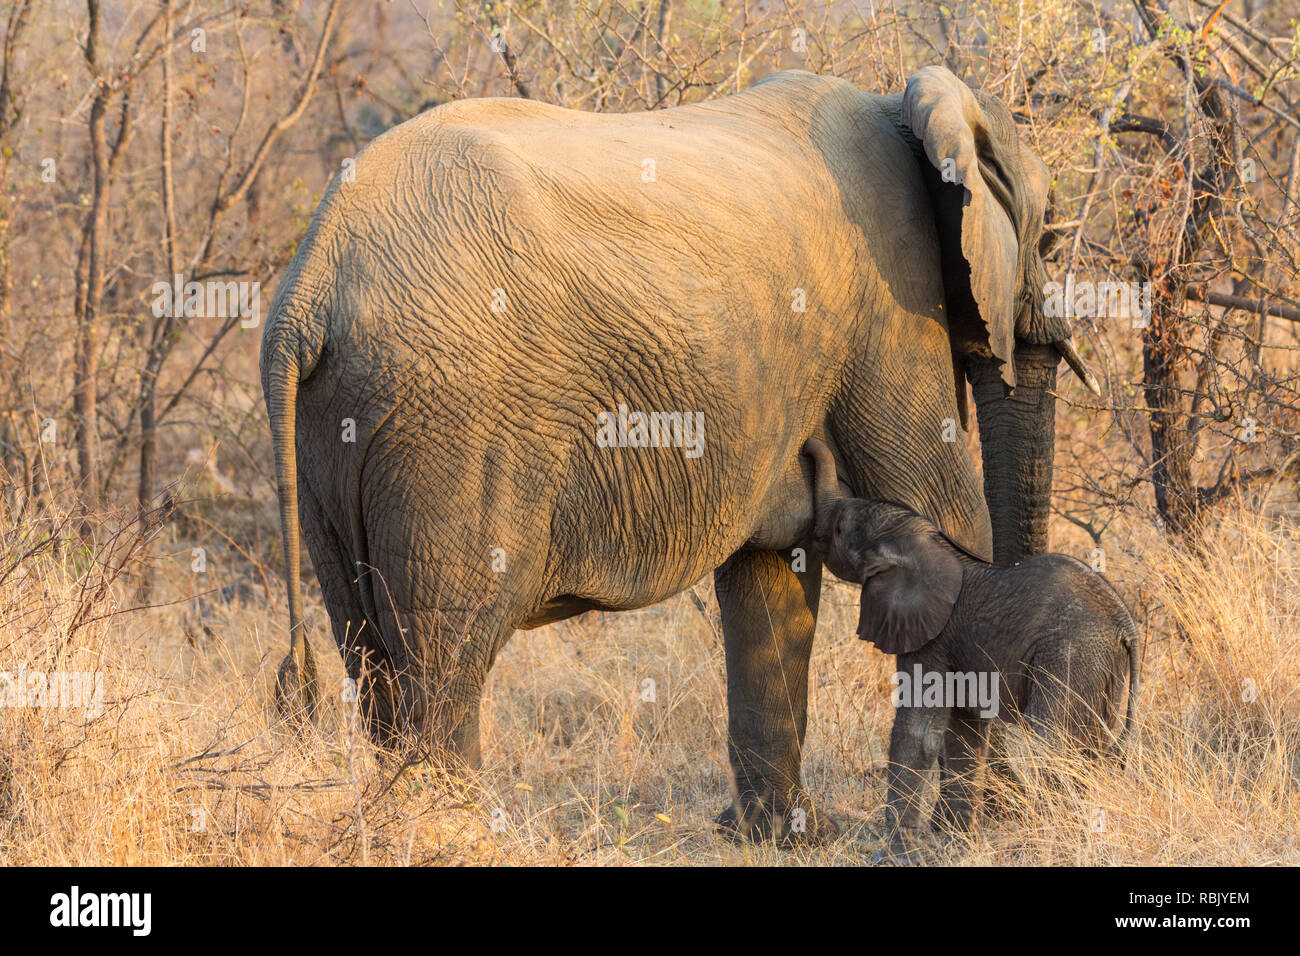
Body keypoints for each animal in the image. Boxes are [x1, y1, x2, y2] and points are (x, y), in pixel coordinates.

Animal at [260, 63, 1098, 844]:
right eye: (1047, 235)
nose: (1014, 807)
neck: (906, 103)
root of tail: (307, 288)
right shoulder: (892, 295)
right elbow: (945, 524)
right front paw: (972, 830)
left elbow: (771, 577)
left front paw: (781, 838)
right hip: (454, 420)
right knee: (443, 648)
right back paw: (458, 831)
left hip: (336, 431)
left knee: (366, 643)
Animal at [804, 438, 1139, 859]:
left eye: (839, 528)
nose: (807, 444)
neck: (928, 544)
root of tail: (1124, 621)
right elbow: (963, 732)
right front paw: (956, 844)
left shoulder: (932, 636)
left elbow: (918, 732)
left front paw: (896, 855)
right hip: (1103, 664)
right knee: (1092, 741)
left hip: (1071, 651)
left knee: (1050, 738)